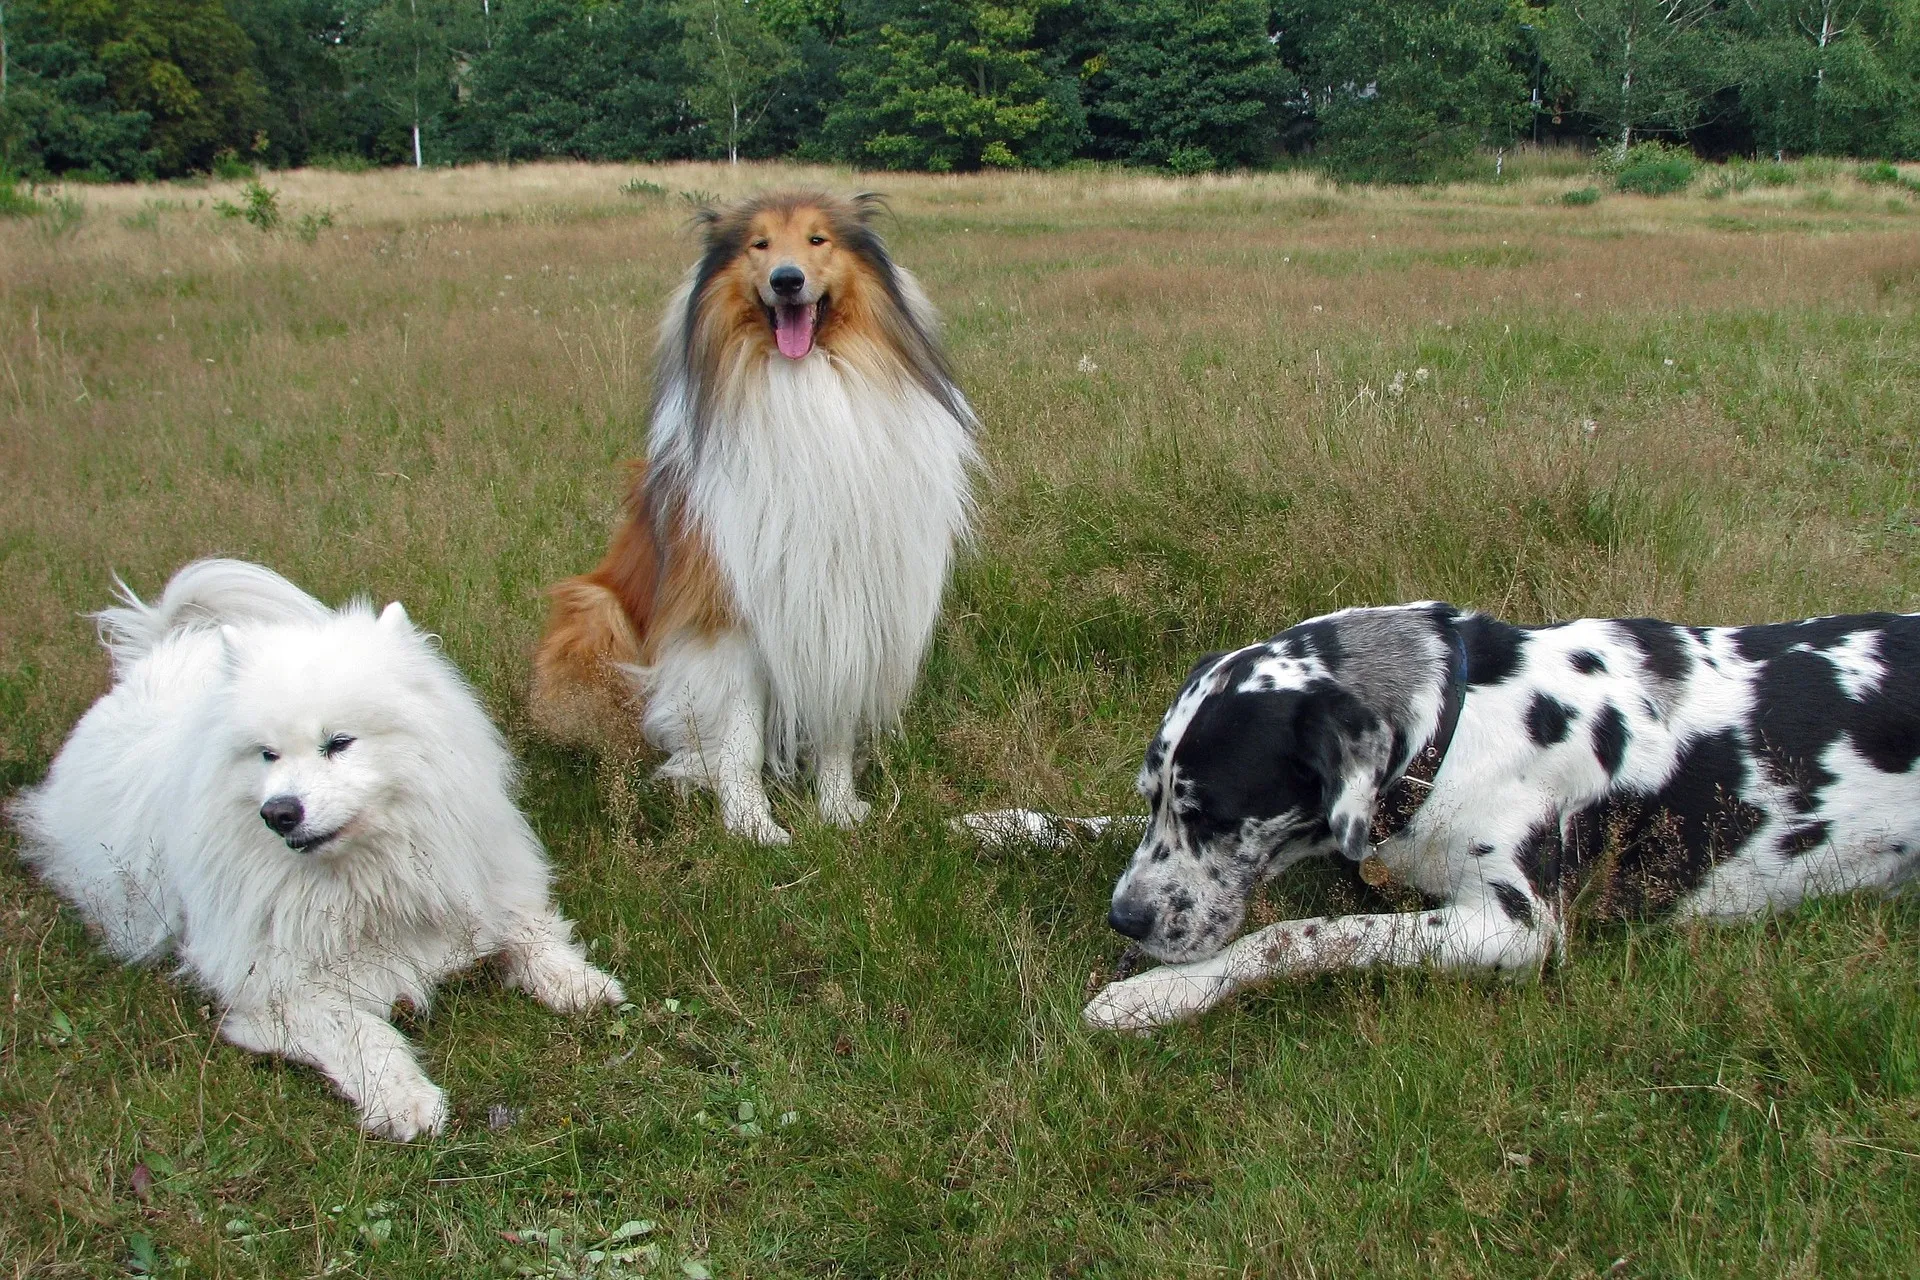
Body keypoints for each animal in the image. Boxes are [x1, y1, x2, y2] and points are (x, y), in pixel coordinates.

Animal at [11, 560, 625, 1143]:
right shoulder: (281, 992)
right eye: (267, 754)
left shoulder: (484, 888)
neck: (368, 879)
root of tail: (161, 652)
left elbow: (531, 935)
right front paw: (405, 1100)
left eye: (339, 742)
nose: (279, 812)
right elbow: (365, 1033)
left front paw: (582, 984)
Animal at [537, 189, 975, 844]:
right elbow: (740, 738)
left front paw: (837, 808)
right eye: (759, 244)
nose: (786, 280)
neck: (801, 384)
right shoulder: (728, 610)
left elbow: (834, 720)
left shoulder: (841, 600)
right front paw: (750, 825)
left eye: (818, 240)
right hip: (594, 611)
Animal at [967, 606, 1920, 1036]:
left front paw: (1158, 993)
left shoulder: (1513, 927)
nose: (1123, 918)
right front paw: (1014, 824)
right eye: (1155, 797)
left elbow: (1300, 935)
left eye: (1217, 814)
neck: (1458, 728)